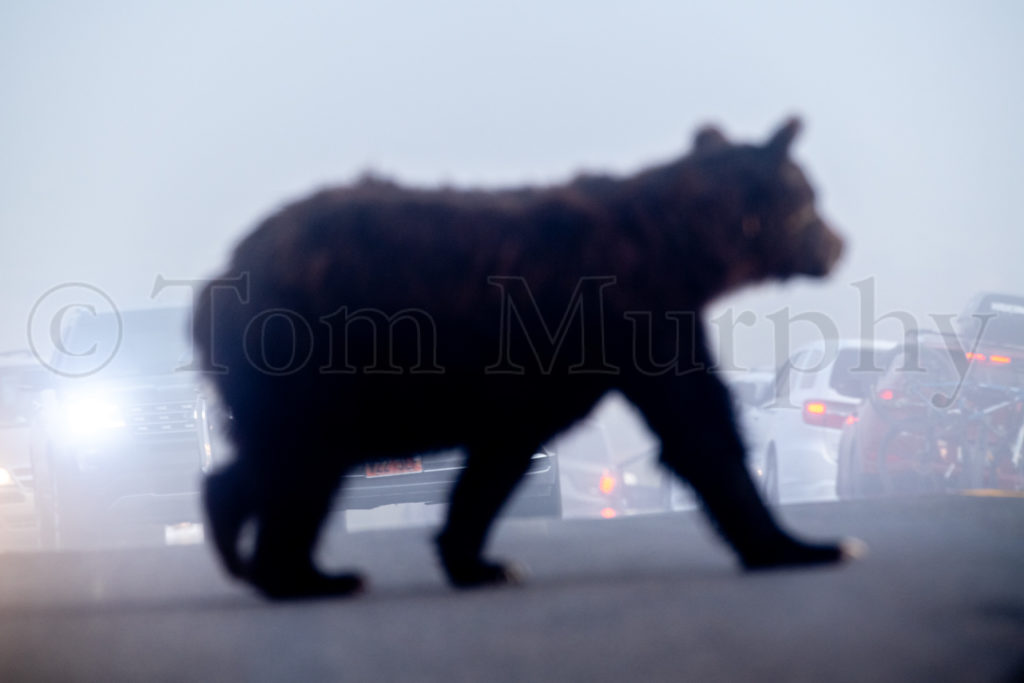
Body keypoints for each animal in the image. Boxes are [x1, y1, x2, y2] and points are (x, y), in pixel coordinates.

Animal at [193, 117, 854, 599]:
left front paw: (475, 560)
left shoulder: (614, 341)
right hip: (316, 356)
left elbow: (511, 452)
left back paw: (247, 545)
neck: (671, 251)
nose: (838, 245)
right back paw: (306, 577)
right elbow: (700, 431)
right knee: (304, 461)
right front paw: (807, 546)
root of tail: (214, 285)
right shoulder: (614, 320)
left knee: (284, 458)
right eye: (812, 200)